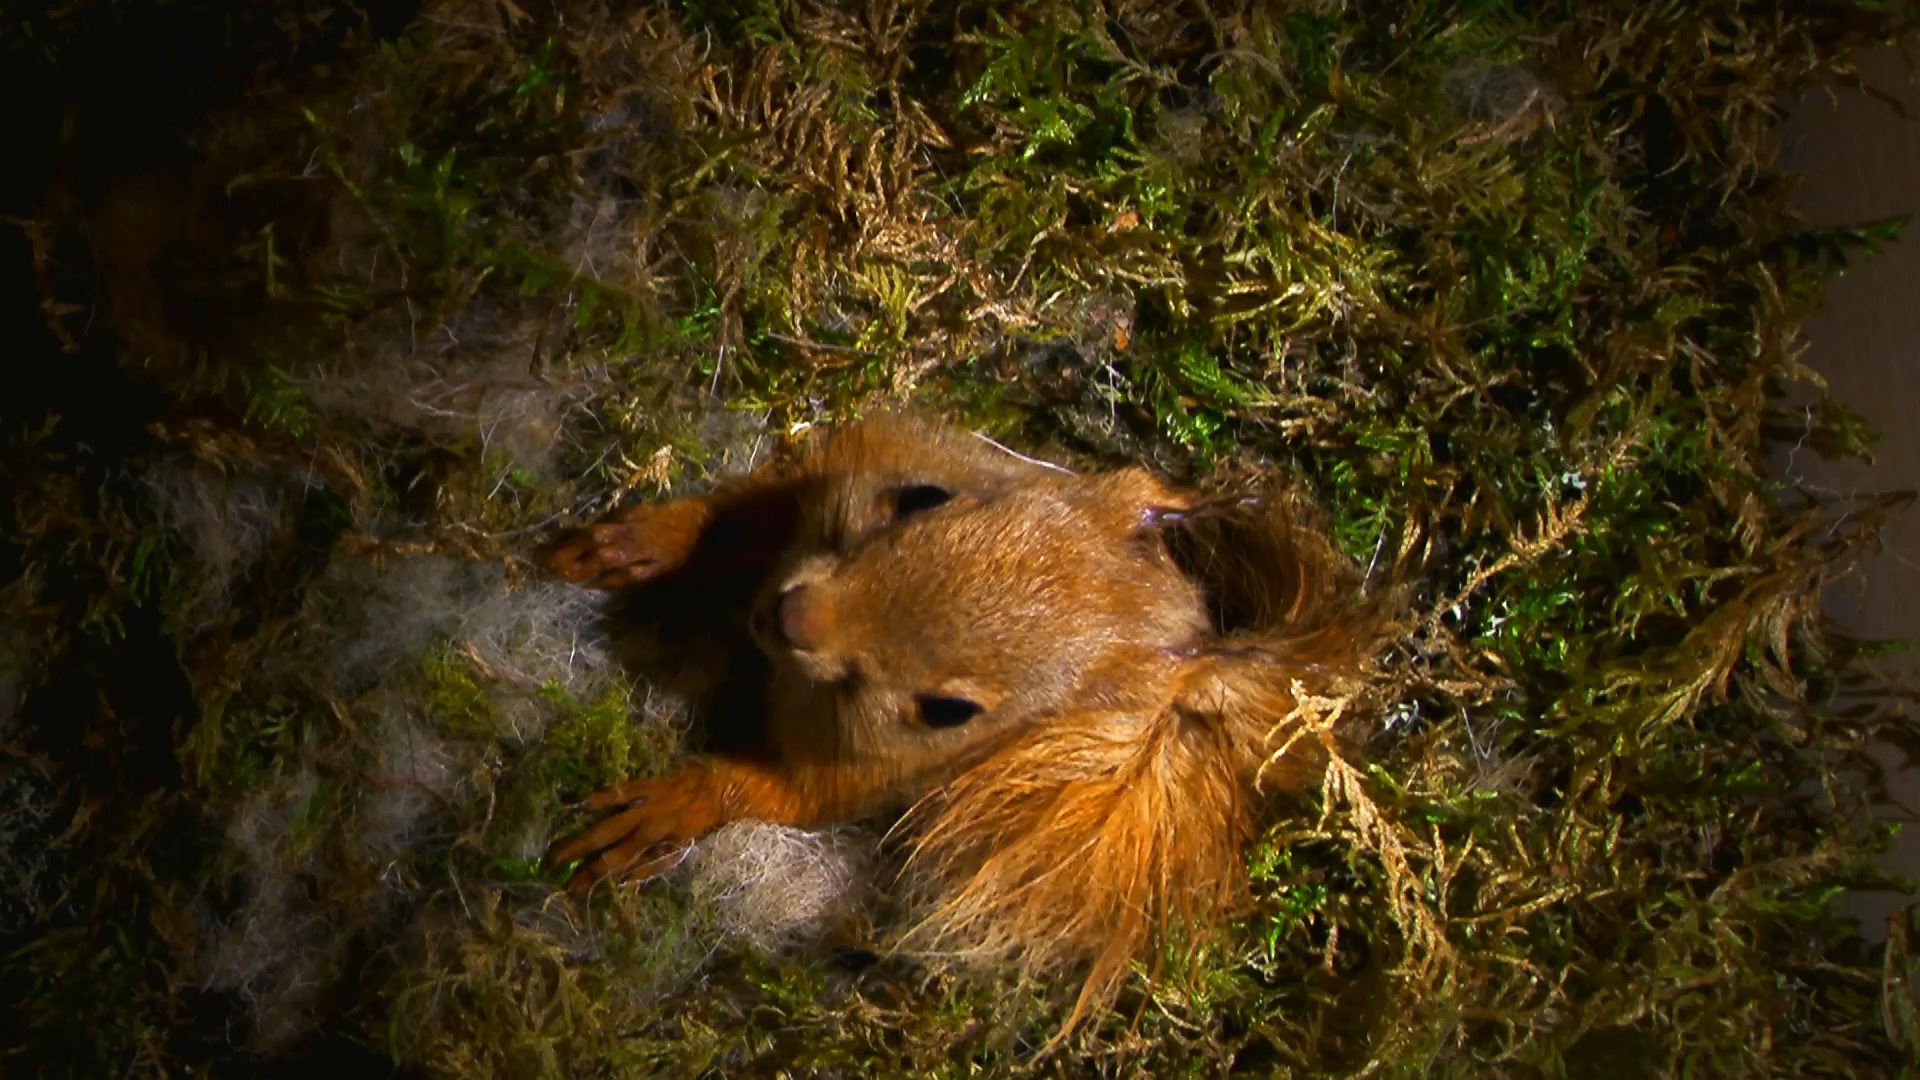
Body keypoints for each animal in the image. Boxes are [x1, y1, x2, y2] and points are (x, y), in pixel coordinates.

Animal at [542, 413, 1384, 1025]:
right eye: (923, 497)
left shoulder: (862, 771)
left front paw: (671, 808)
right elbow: (761, 507)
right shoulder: (863, 458)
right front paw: (656, 539)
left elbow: (783, 791)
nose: (790, 615)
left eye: (950, 712)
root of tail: (1193, 656)